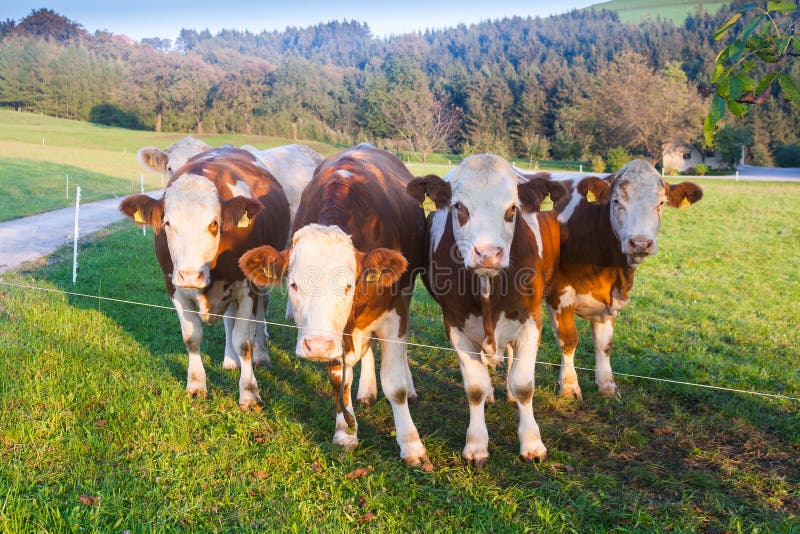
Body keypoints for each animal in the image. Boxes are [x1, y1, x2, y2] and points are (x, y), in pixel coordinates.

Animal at [120, 147, 291, 409]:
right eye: (167, 223)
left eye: (214, 223)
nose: (190, 274)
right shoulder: (174, 288)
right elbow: (192, 337)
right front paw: (196, 385)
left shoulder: (246, 288)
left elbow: (244, 341)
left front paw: (249, 394)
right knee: (229, 319)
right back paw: (230, 360)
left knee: (260, 312)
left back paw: (262, 354)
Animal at [239, 144, 429, 467]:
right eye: (293, 284)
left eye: (348, 286)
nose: (316, 345)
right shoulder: (335, 334)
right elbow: (340, 377)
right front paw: (345, 431)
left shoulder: (393, 314)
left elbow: (395, 385)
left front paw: (411, 444)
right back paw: (366, 390)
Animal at [406, 154, 569, 466]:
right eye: (458, 206)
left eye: (513, 208)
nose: (488, 254)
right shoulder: (454, 322)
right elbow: (476, 387)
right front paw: (476, 445)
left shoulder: (531, 318)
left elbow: (523, 384)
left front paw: (532, 443)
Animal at [541, 159, 702, 400]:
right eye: (616, 201)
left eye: (661, 203)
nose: (641, 243)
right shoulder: (559, 293)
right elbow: (568, 339)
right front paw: (569, 387)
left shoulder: (608, 299)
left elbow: (604, 344)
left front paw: (607, 386)